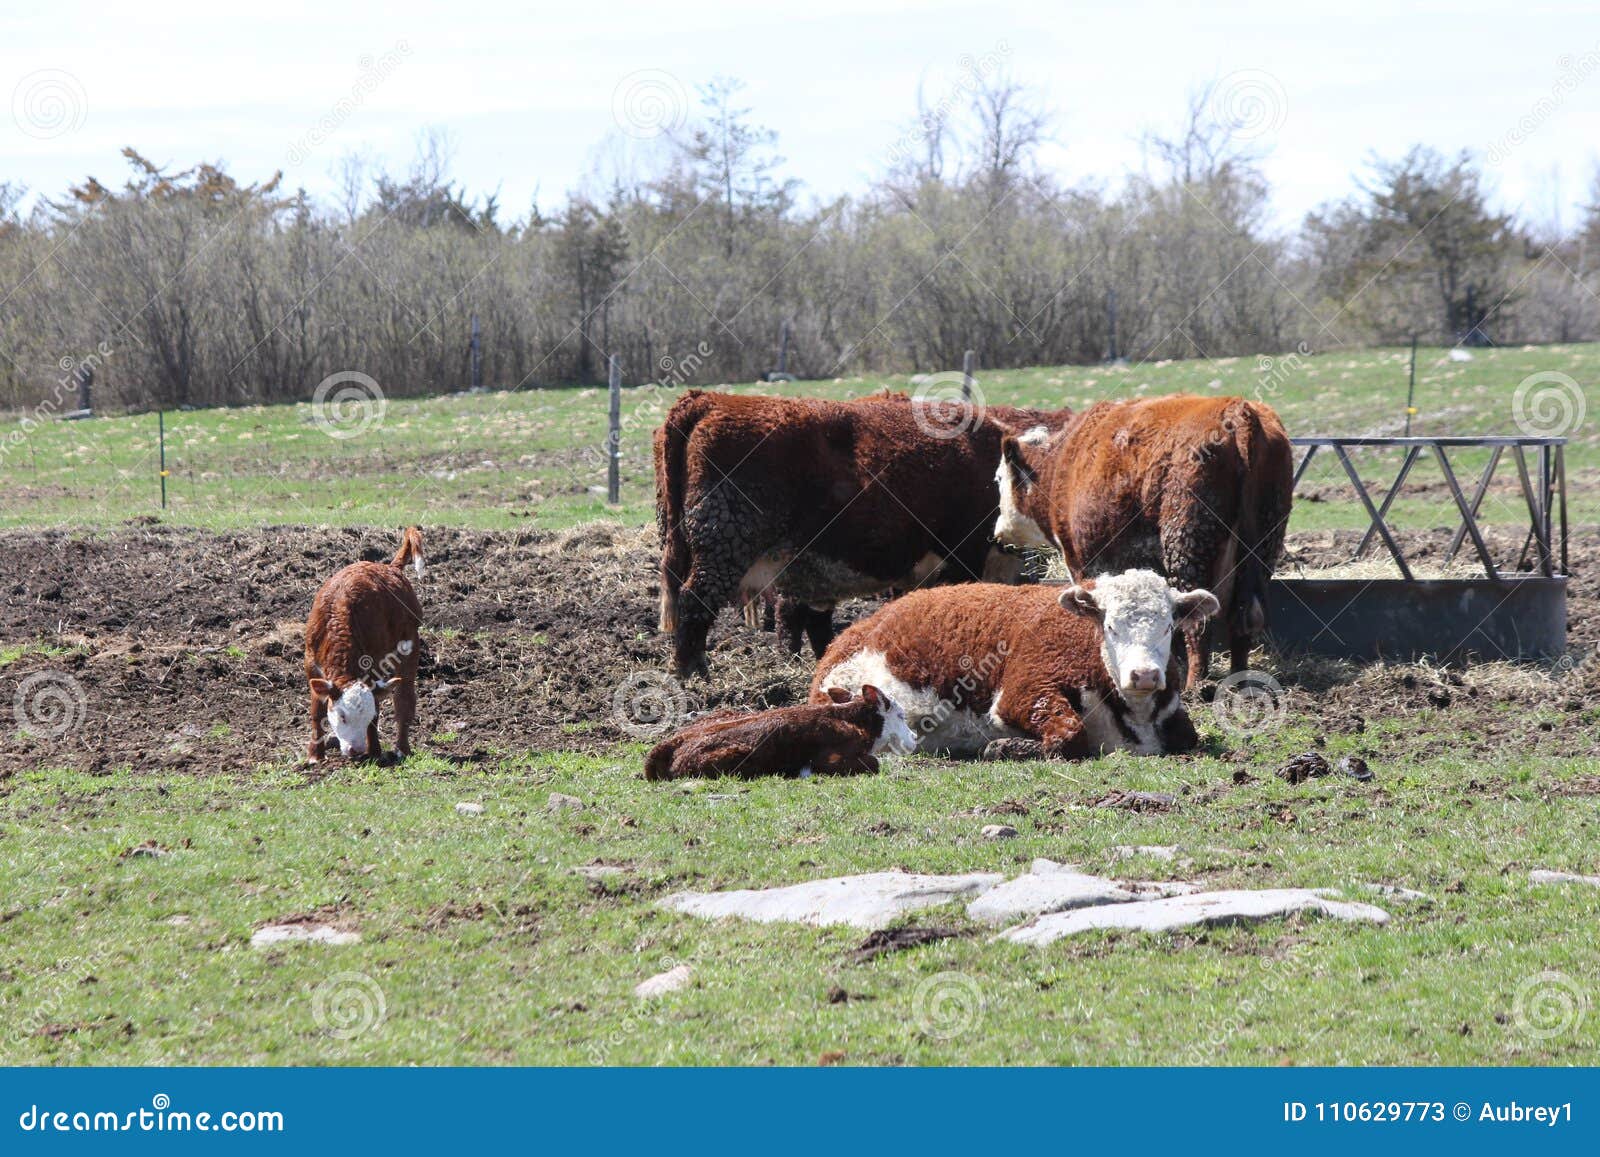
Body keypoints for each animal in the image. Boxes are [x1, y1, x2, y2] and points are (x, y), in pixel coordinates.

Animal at [304, 527, 425, 762]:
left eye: (366, 716)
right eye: (342, 716)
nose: (356, 750)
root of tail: (390, 568)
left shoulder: (375, 665)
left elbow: (377, 708)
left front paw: (374, 751)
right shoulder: (311, 662)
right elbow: (317, 711)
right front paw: (315, 755)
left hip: (410, 645)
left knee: (404, 699)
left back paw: (401, 749)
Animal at [810, 571, 1219, 760]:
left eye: (1168, 626)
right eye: (1111, 627)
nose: (1145, 675)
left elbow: (1189, 736)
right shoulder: (1023, 690)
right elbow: (1070, 736)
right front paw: (1004, 746)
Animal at [993, 395, 1292, 685]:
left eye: (998, 479)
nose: (998, 532)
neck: (1061, 464)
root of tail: (1238, 411)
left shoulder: (1082, 561)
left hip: (1188, 545)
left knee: (1200, 624)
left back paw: (1195, 686)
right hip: (1263, 546)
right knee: (1242, 619)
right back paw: (1238, 682)